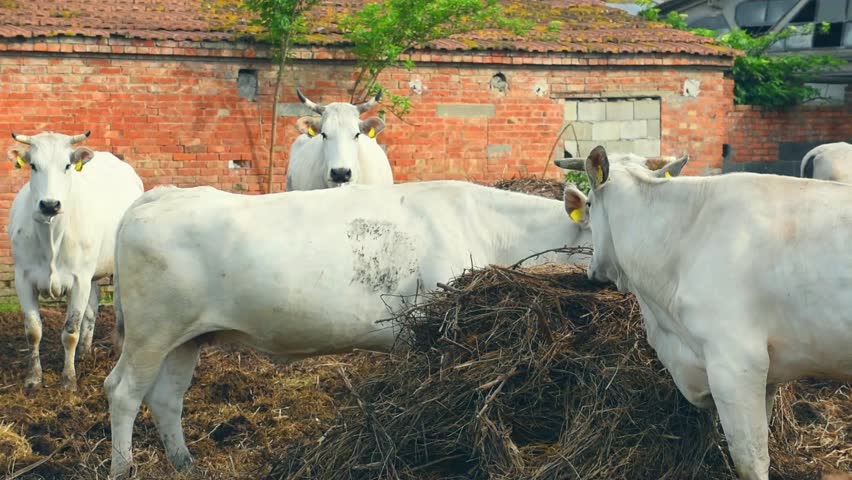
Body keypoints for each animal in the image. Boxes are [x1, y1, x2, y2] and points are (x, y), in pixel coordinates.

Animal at [6, 131, 144, 391]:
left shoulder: (79, 280)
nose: (49, 204)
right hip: (93, 274)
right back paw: (84, 352)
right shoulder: (23, 278)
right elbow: (33, 331)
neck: (50, 236)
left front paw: (68, 379)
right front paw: (33, 379)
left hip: (116, 268)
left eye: (67, 166)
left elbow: (70, 331)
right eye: (33, 165)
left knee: (119, 309)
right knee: (92, 310)